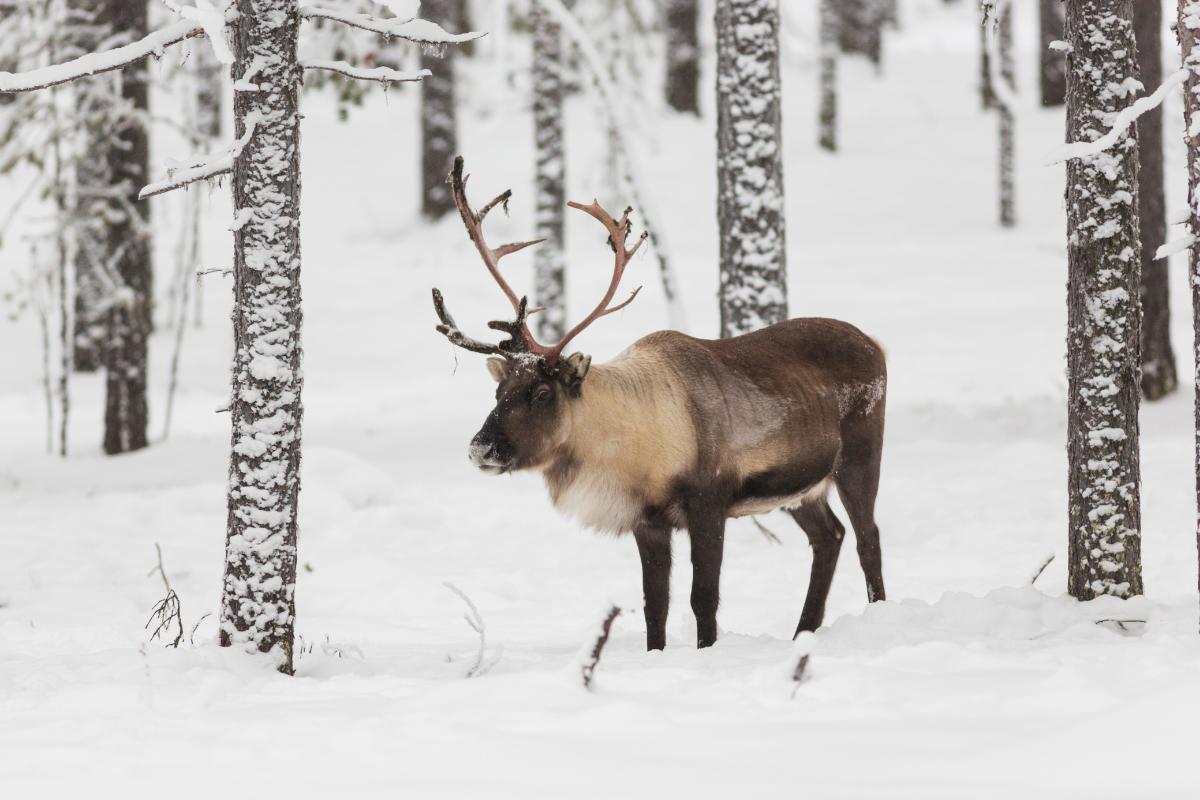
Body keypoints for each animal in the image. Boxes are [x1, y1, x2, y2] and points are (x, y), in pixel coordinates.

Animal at [433, 157, 887, 651]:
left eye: (541, 392)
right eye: (499, 392)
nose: (480, 448)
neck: (633, 449)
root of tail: (876, 344)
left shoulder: (709, 501)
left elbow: (702, 597)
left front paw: (707, 651)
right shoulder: (647, 521)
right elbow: (657, 605)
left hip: (859, 457)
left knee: (867, 537)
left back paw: (876, 614)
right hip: (802, 488)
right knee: (830, 536)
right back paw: (802, 633)